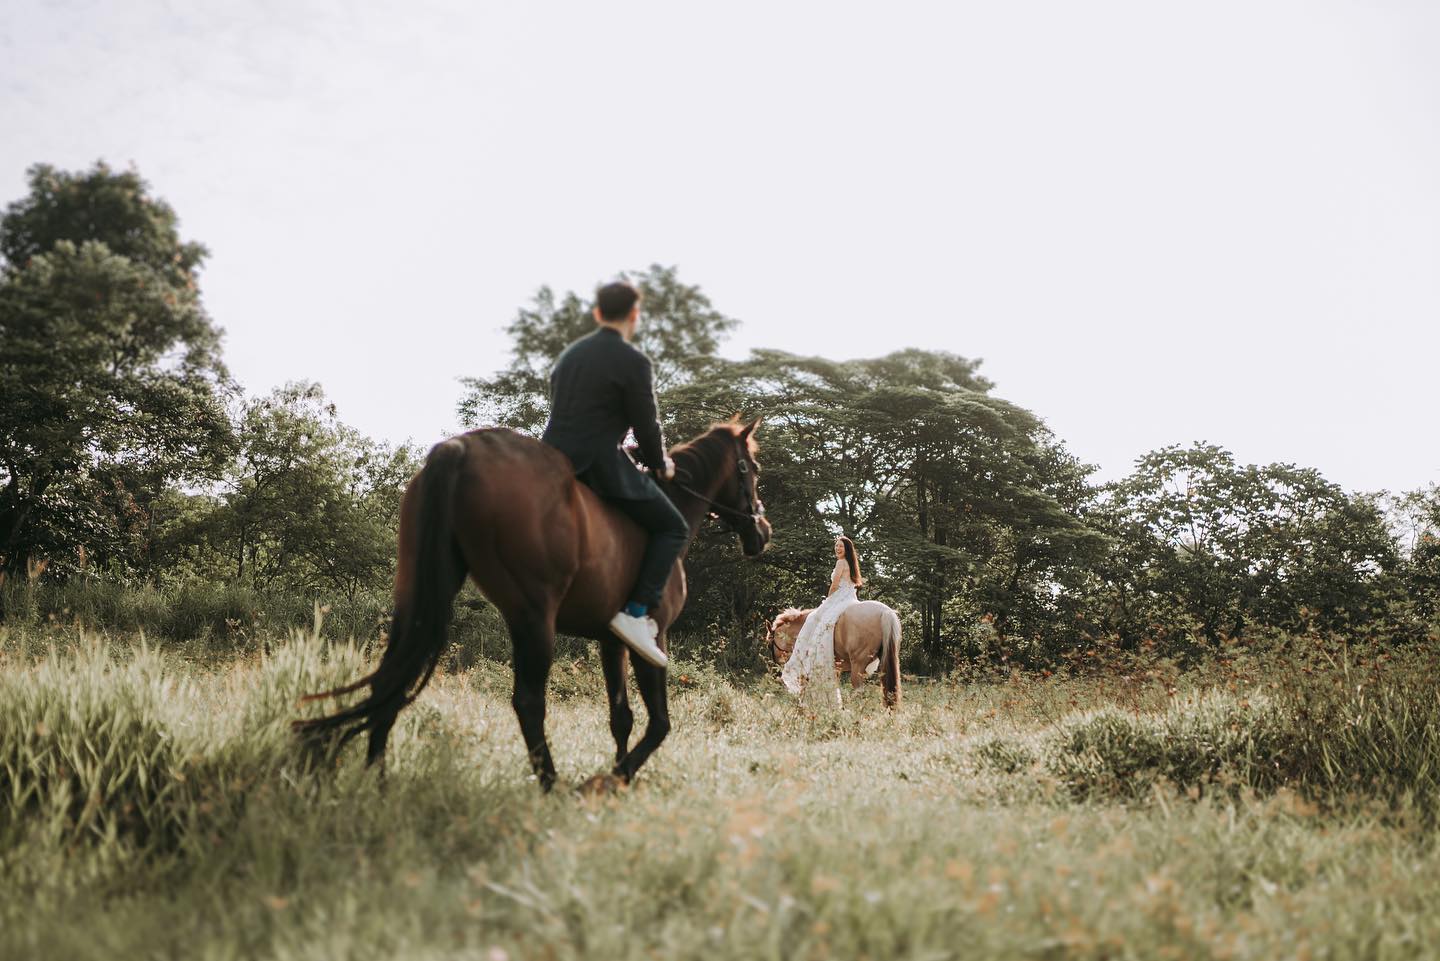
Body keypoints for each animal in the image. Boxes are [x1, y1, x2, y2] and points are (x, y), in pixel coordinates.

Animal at [294, 419, 770, 792]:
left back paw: (377, 777)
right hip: (533, 616)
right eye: (752, 468)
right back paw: (550, 785)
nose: (761, 531)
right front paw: (612, 778)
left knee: (390, 678)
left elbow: (621, 717)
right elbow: (659, 723)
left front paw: (618, 776)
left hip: (417, 597)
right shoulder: (653, 638)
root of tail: (459, 450)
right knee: (529, 702)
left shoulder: (610, 641)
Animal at [766, 600, 902, 707]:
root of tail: (884, 611)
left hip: (857, 666)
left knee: (859, 691)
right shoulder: (835, 668)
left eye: (769, 644)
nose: (775, 673)